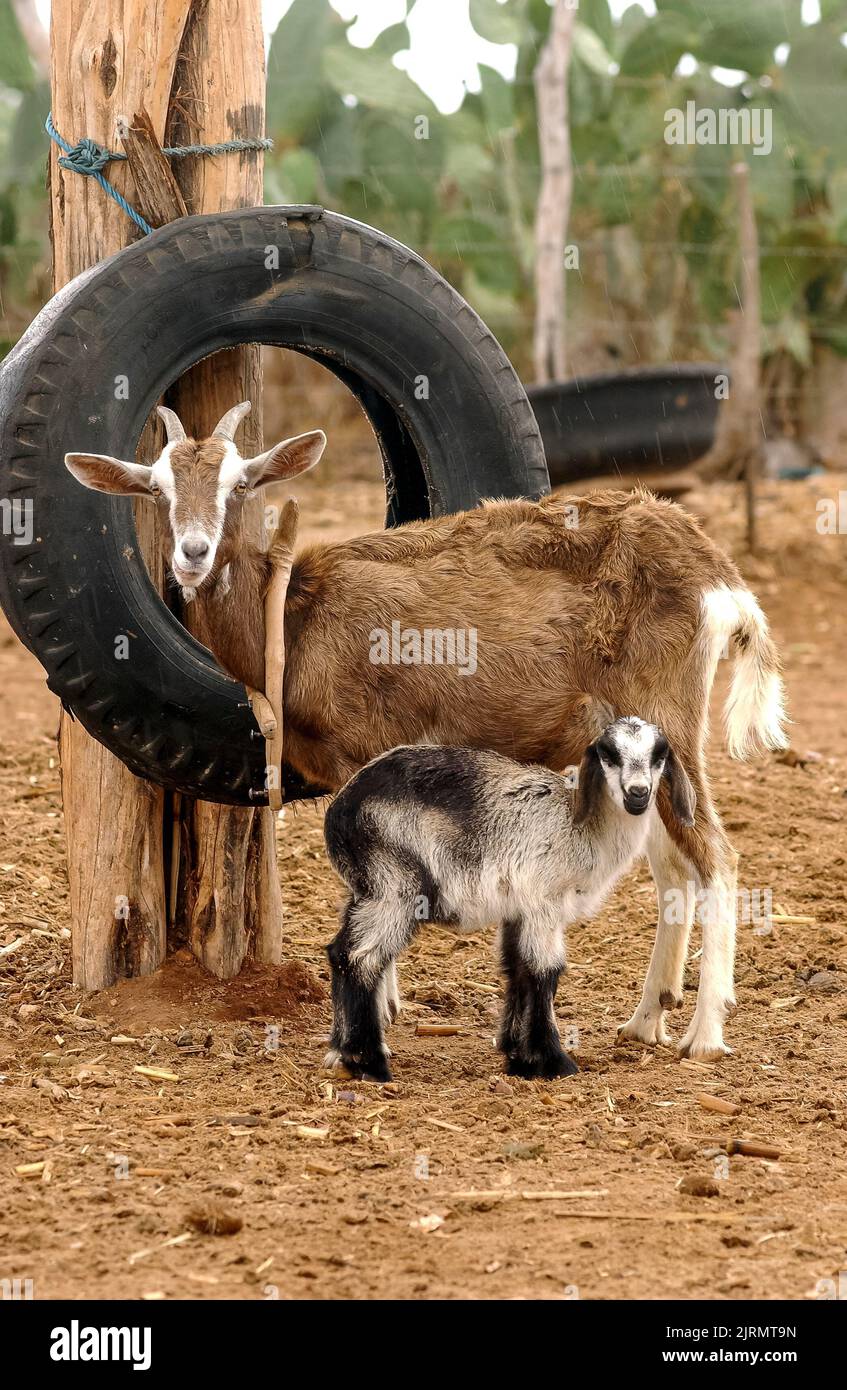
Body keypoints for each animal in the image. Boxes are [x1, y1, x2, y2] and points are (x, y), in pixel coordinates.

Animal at [322, 717, 697, 1082]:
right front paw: (553, 1061)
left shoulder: (518, 908)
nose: (638, 793)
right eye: (609, 754)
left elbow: (516, 967)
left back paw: (341, 1052)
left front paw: (518, 1056)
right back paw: (369, 1062)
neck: (580, 824)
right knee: (362, 957)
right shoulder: (543, 901)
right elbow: (544, 971)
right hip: (396, 884)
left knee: (339, 951)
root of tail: (341, 809)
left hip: (366, 887)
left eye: (659, 756)